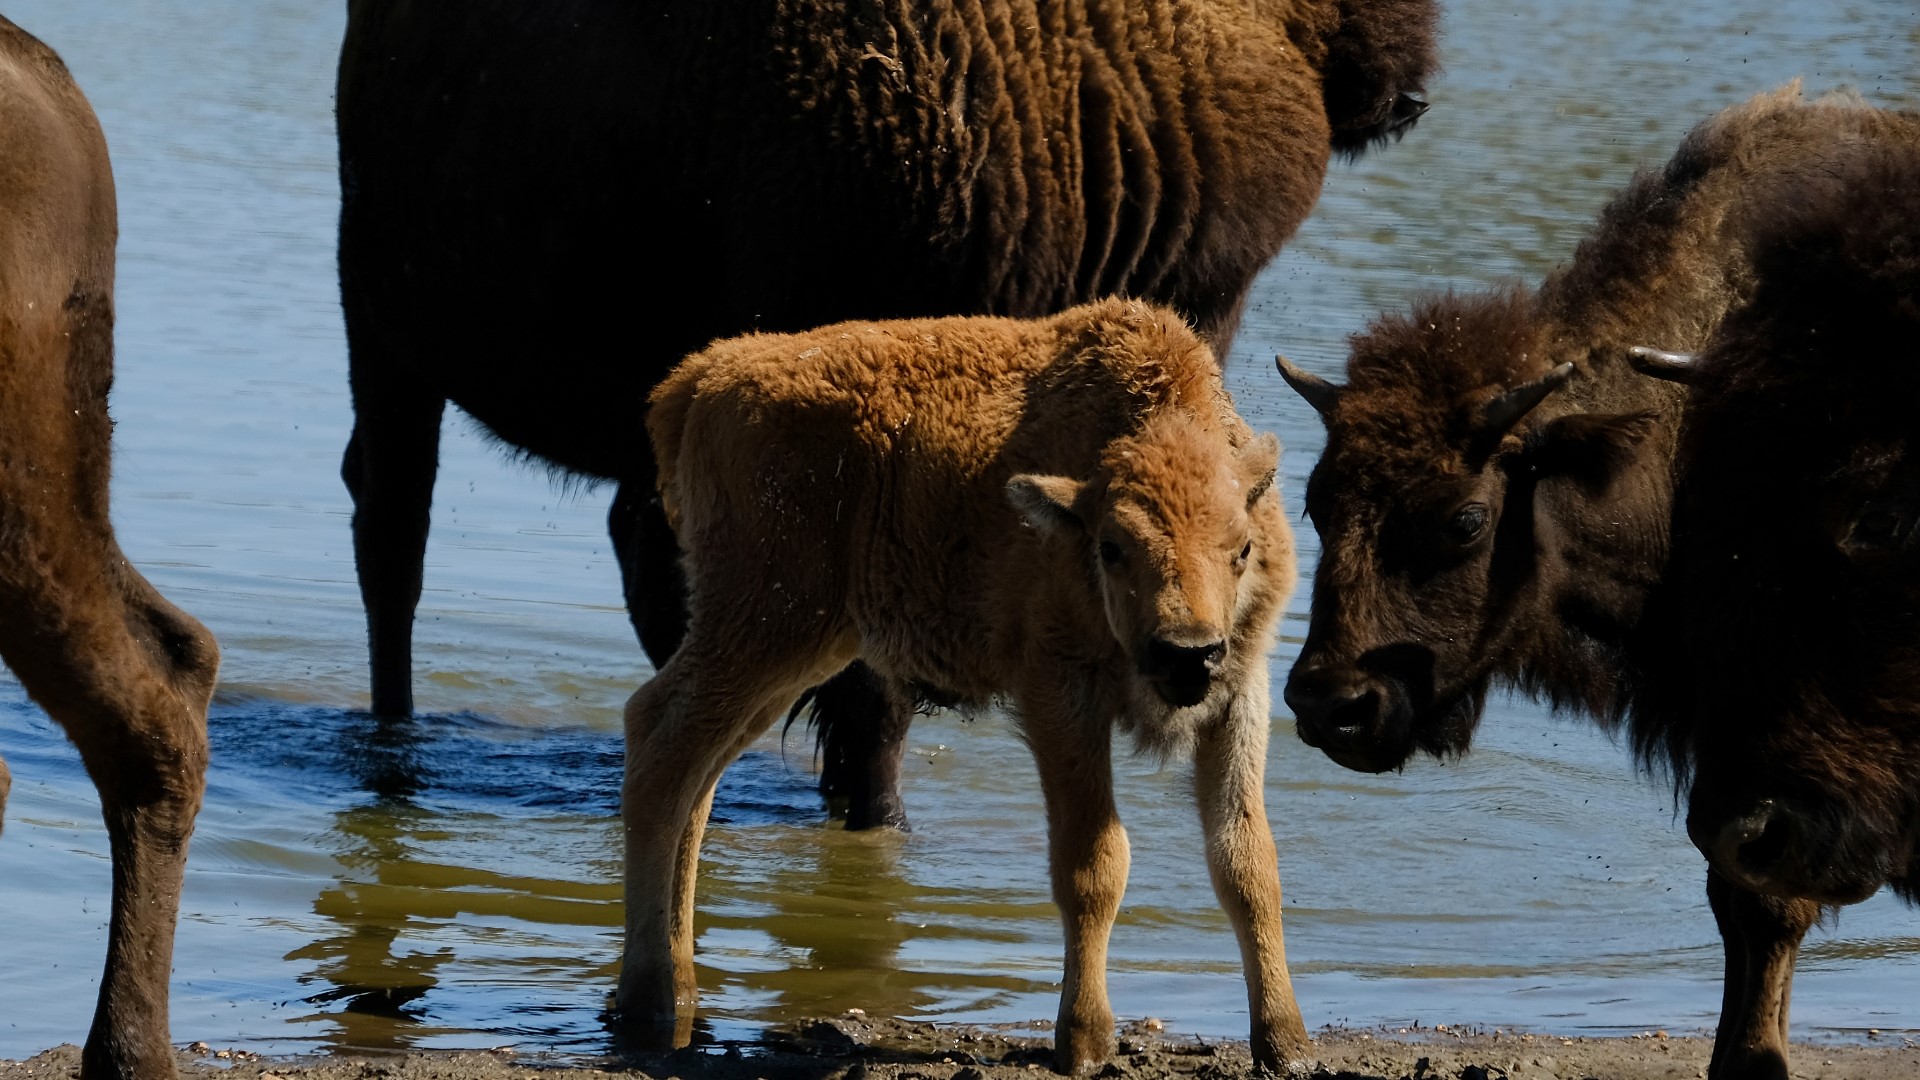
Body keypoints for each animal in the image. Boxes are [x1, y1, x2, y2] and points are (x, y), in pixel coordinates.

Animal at [335, 0, 1436, 829]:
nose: (1409, 89)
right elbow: (867, 686)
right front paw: (878, 820)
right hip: (382, 333)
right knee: (394, 534)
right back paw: (392, 748)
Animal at [1275, 86, 1920, 1079]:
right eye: (1316, 503)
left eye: (1466, 519)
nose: (1330, 705)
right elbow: (1735, 892)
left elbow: (1764, 896)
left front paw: (1755, 1057)